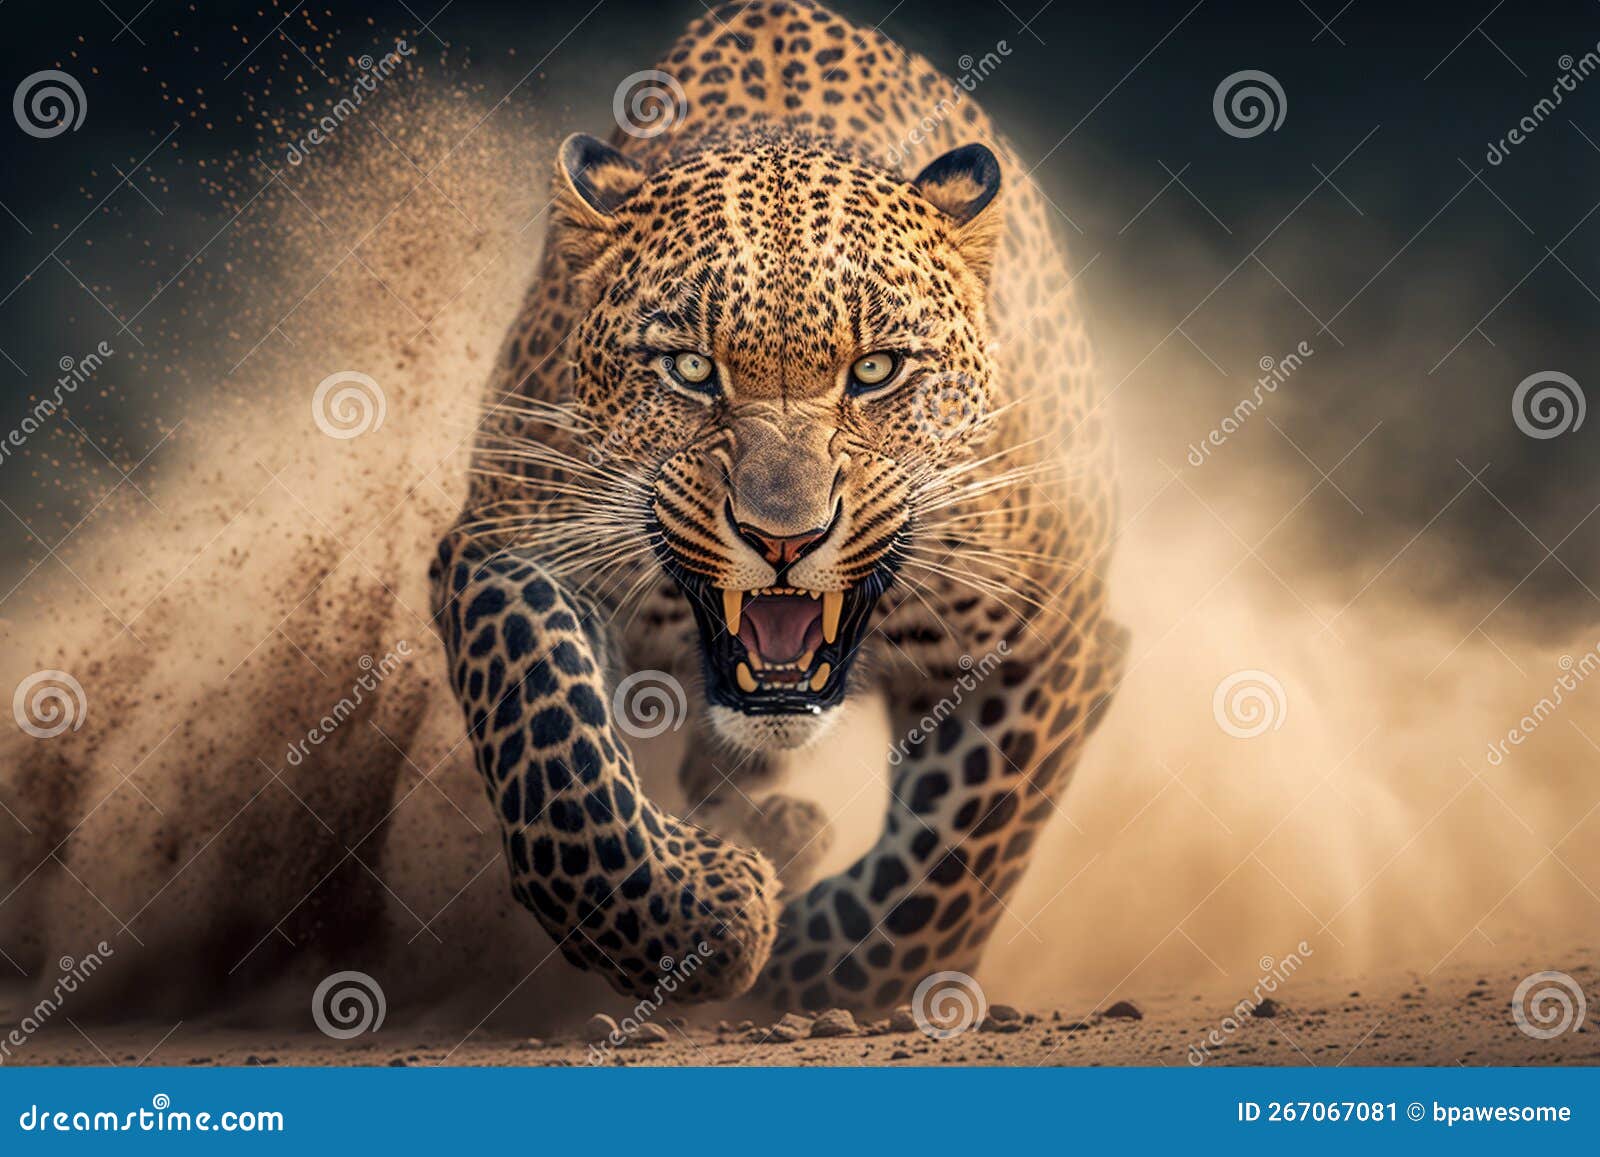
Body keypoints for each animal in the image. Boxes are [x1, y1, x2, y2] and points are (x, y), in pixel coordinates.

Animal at [430, 0, 1127, 1012]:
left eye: (876, 370)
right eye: (690, 368)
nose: (784, 539)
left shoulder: (1054, 624)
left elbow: (954, 853)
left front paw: (808, 957)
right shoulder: (511, 542)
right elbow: (556, 747)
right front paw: (705, 913)